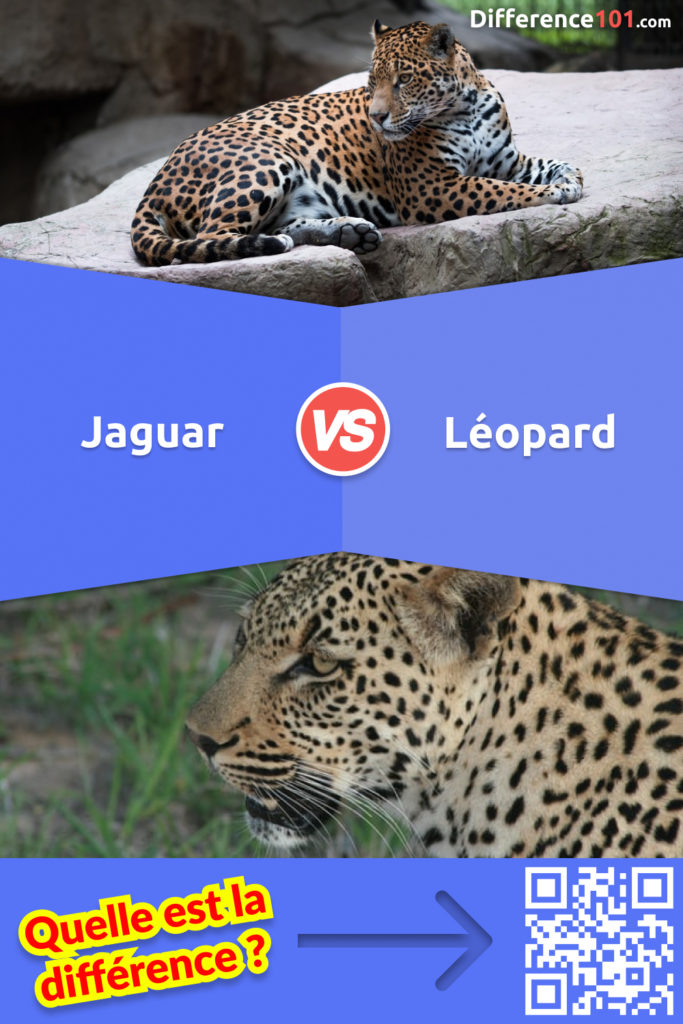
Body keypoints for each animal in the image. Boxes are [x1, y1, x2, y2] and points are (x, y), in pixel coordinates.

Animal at [131, 20, 583, 267]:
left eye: (404, 79)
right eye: (371, 82)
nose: (376, 118)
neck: (464, 107)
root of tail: (155, 182)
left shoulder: (505, 159)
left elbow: (554, 164)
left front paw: (568, 181)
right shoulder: (431, 186)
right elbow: (497, 190)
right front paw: (549, 195)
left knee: (281, 227)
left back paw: (351, 232)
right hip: (266, 160)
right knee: (210, 236)